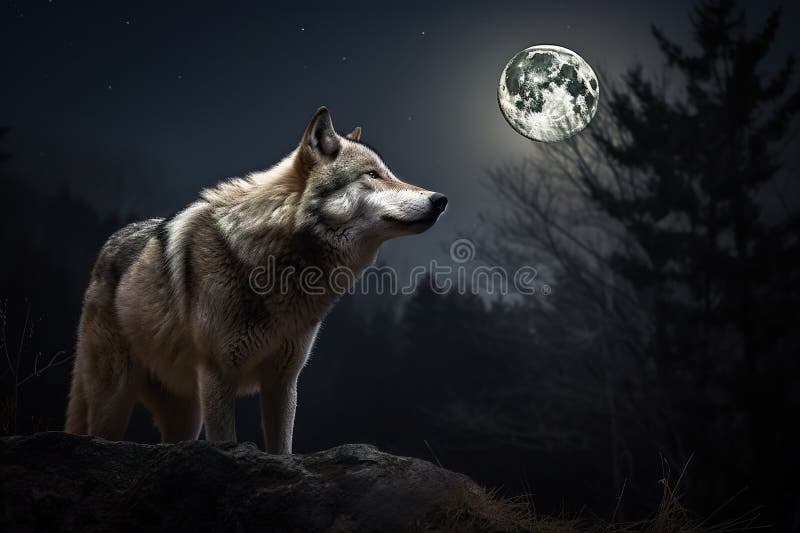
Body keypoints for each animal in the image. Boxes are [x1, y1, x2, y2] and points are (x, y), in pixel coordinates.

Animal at [64, 107, 447, 453]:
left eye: (388, 173)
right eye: (373, 174)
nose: (441, 199)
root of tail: (107, 245)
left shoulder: (283, 380)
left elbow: (282, 450)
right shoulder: (218, 374)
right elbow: (225, 442)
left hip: (185, 414)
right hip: (116, 399)